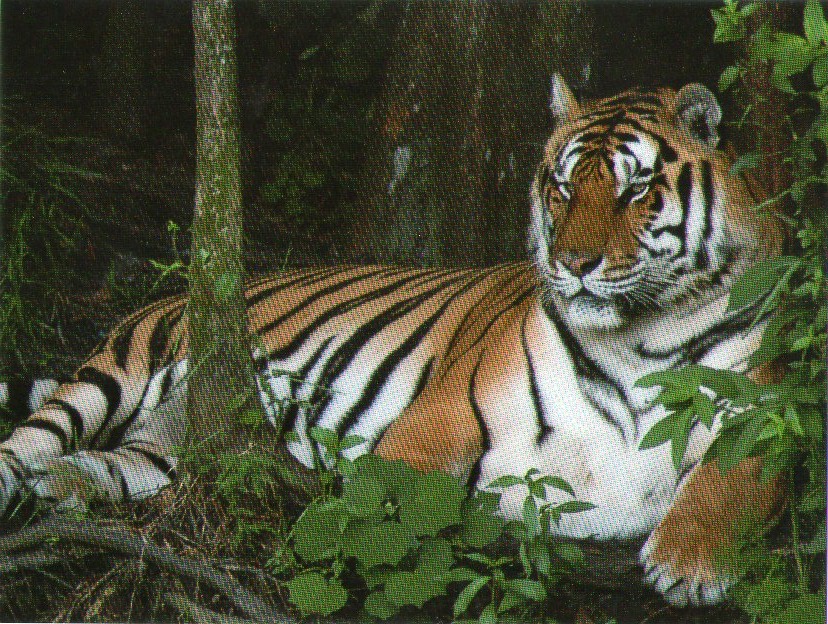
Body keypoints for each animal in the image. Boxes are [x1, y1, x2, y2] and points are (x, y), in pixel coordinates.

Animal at [0, 75, 785, 607]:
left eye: (635, 190)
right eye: (561, 190)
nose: (573, 263)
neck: (638, 335)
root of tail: (186, 290)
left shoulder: (772, 402)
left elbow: (742, 470)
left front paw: (688, 561)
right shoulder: (445, 413)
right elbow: (375, 505)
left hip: (171, 448)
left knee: (127, 465)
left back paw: (64, 484)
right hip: (119, 369)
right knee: (29, 438)